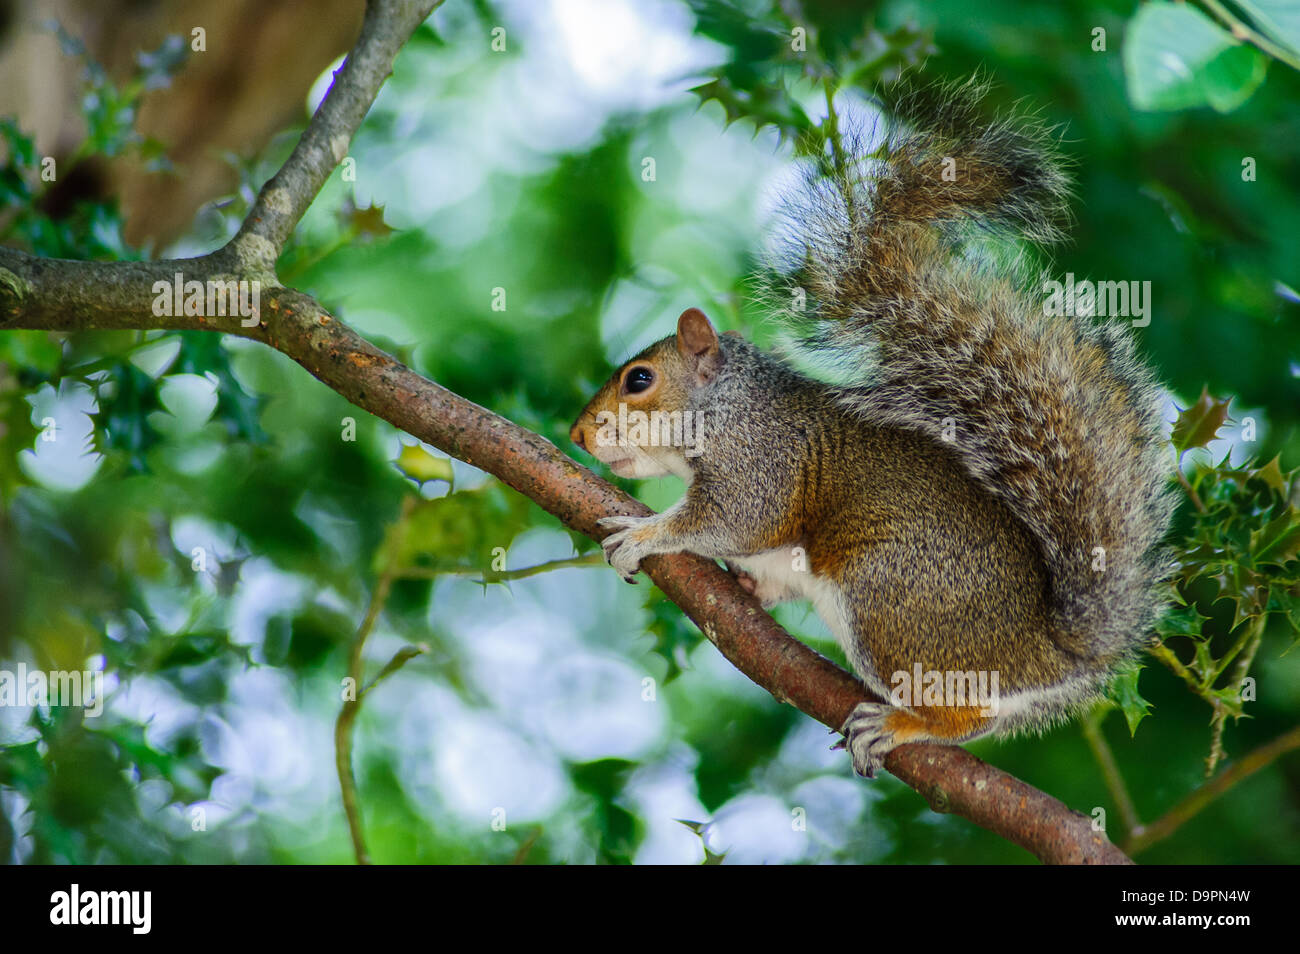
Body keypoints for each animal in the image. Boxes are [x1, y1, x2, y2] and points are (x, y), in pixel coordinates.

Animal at [568, 76, 1175, 778]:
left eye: (639, 380)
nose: (578, 437)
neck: (728, 406)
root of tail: (1046, 652)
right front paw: (744, 582)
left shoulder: (763, 460)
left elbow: (736, 518)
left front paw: (644, 533)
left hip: (888, 601)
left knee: (966, 713)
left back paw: (900, 723)